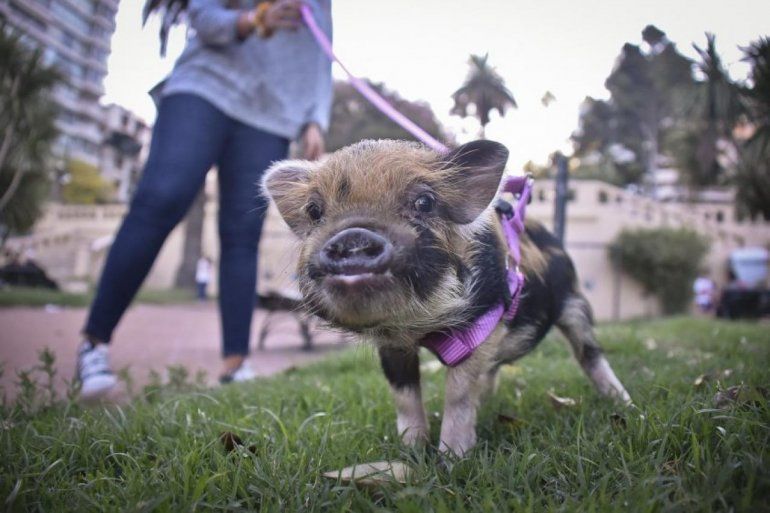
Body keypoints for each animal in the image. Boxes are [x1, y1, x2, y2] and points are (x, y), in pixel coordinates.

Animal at [262, 139, 631, 455]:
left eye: (425, 202)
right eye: (314, 210)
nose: (353, 234)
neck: (422, 326)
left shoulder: (483, 323)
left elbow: (458, 394)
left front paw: (452, 458)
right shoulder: (392, 345)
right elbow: (404, 395)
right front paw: (411, 451)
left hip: (574, 303)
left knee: (590, 354)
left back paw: (625, 405)